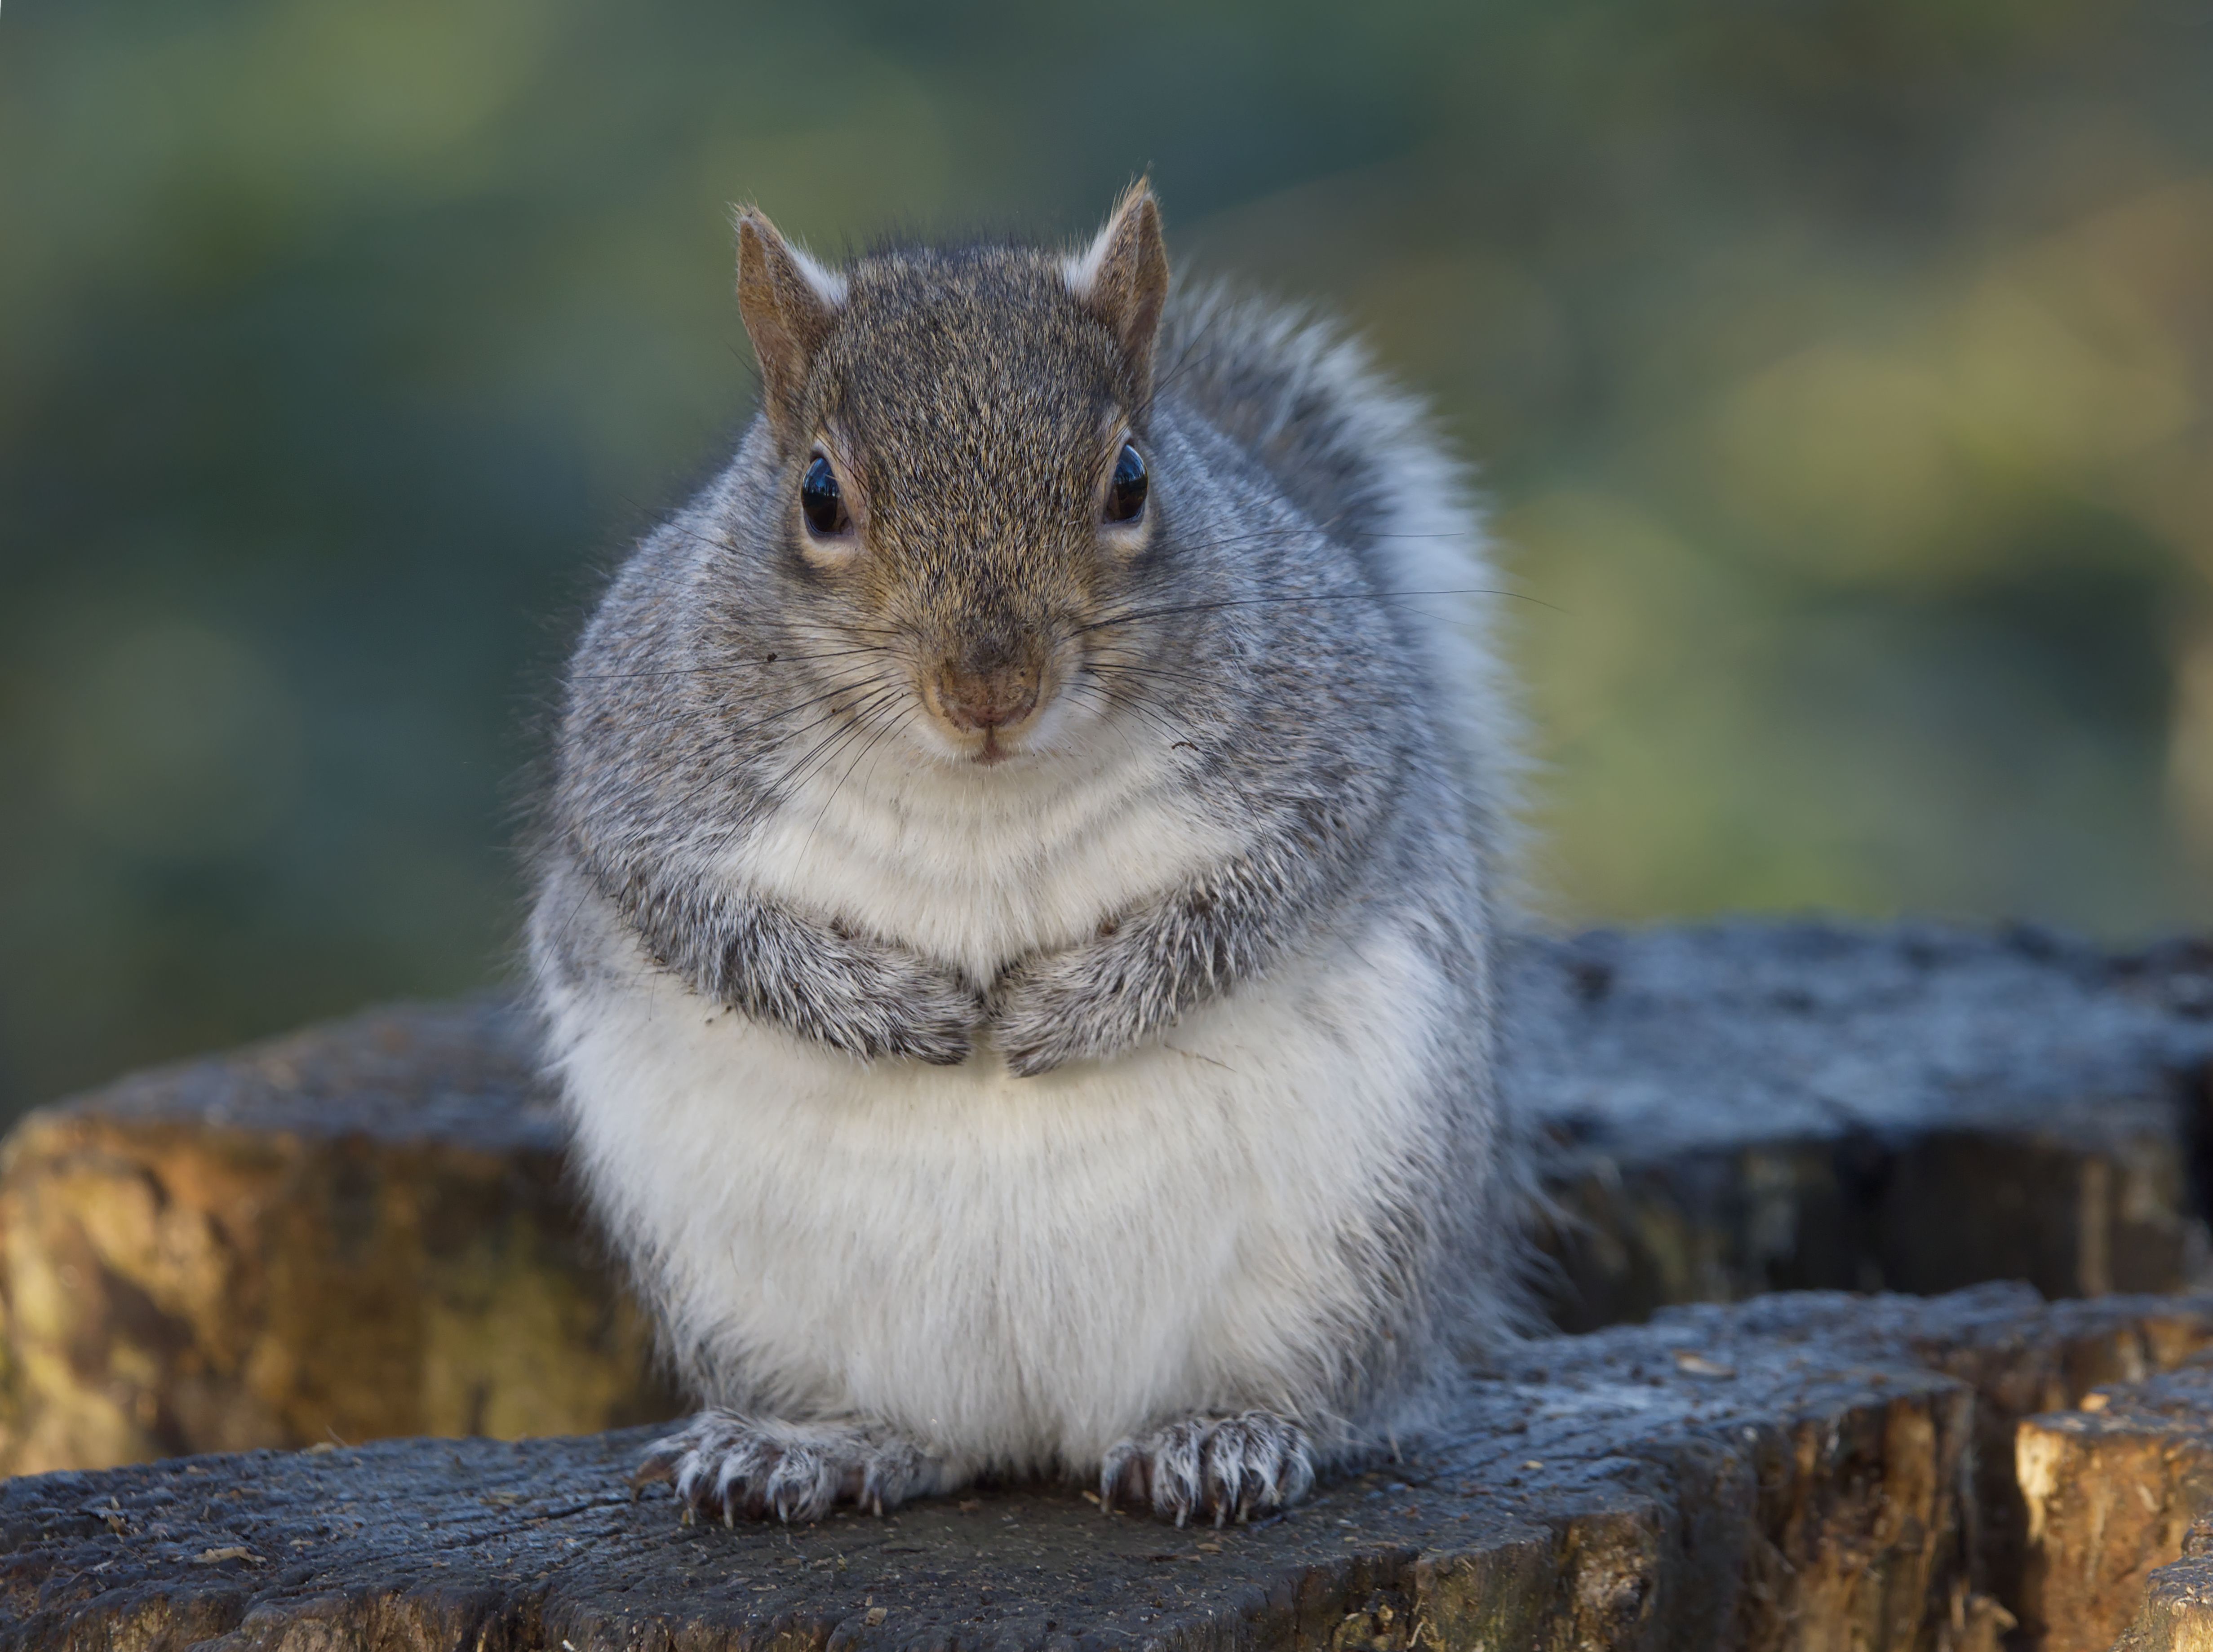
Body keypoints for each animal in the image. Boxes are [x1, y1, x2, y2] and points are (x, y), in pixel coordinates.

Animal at [528, 183, 1523, 1528]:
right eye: (819, 495)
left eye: (1130, 480)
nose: (987, 686)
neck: (977, 796)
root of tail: (1036, 1435)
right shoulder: (637, 761)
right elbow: (698, 917)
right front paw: (904, 1010)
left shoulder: (1334, 734)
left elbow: (1260, 890)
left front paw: (1069, 1005)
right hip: (732, 1280)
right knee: (902, 1428)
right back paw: (808, 1447)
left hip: (1355, 1240)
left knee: (1334, 1398)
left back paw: (1224, 1438)